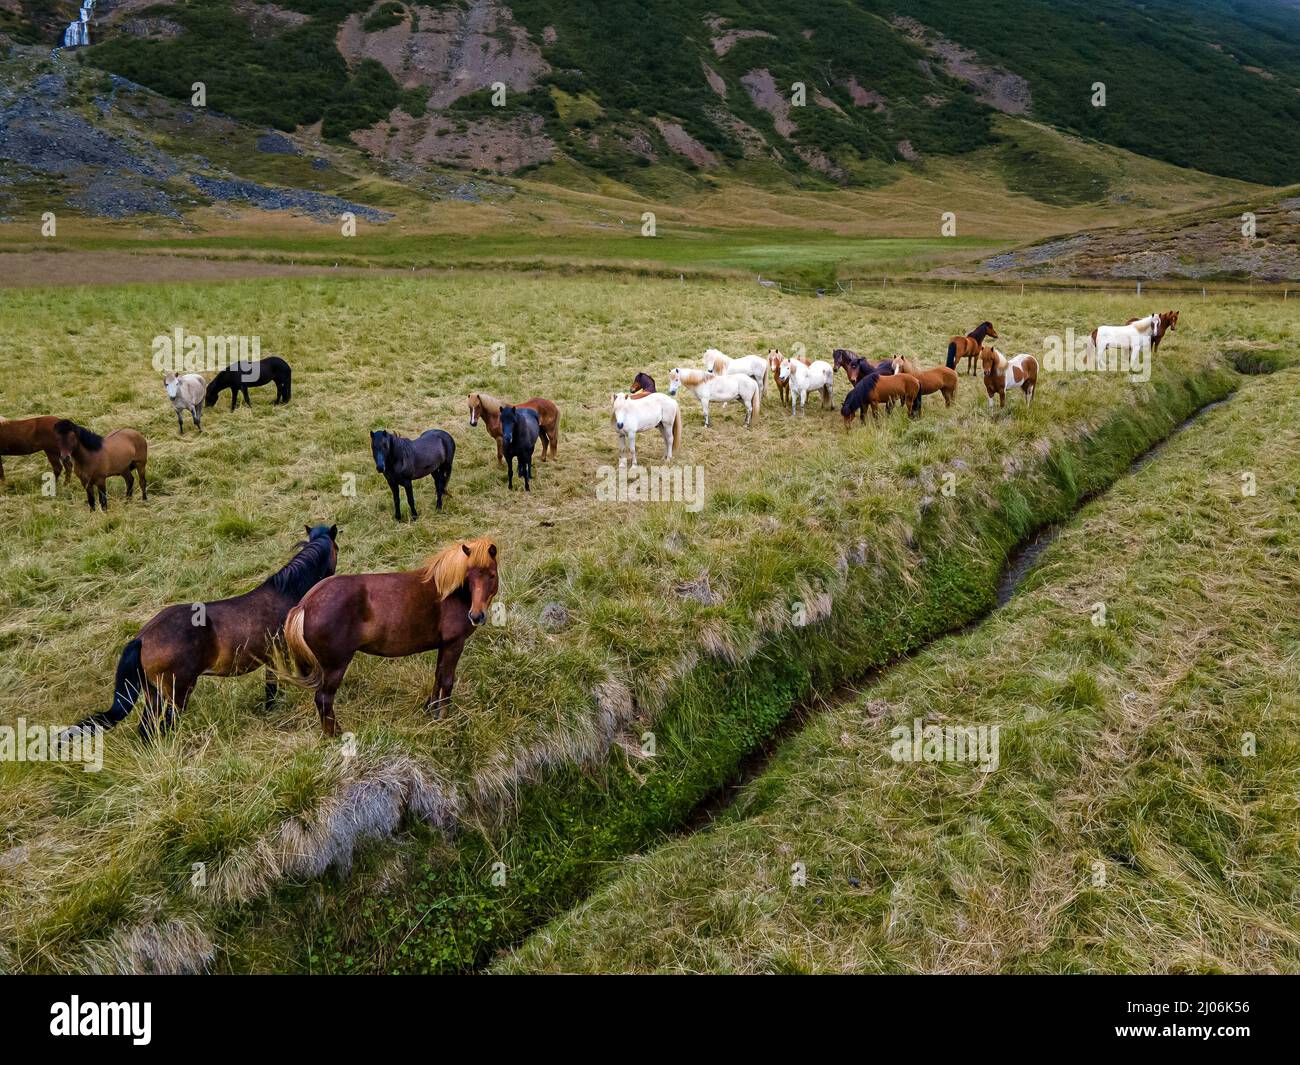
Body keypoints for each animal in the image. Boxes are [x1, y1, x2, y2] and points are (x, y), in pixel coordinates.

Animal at [61, 525, 338, 741]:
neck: (286, 592)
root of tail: (142, 638)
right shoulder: (281, 655)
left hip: (154, 695)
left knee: (147, 729)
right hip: (177, 693)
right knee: (165, 725)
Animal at [281, 537, 498, 732]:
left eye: (491, 575)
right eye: (469, 576)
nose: (476, 615)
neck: (449, 592)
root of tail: (304, 605)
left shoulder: (444, 645)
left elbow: (438, 676)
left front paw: (431, 708)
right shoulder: (455, 644)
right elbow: (447, 681)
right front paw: (443, 719)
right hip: (335, 667)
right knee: (324, 699)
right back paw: (334, 735)